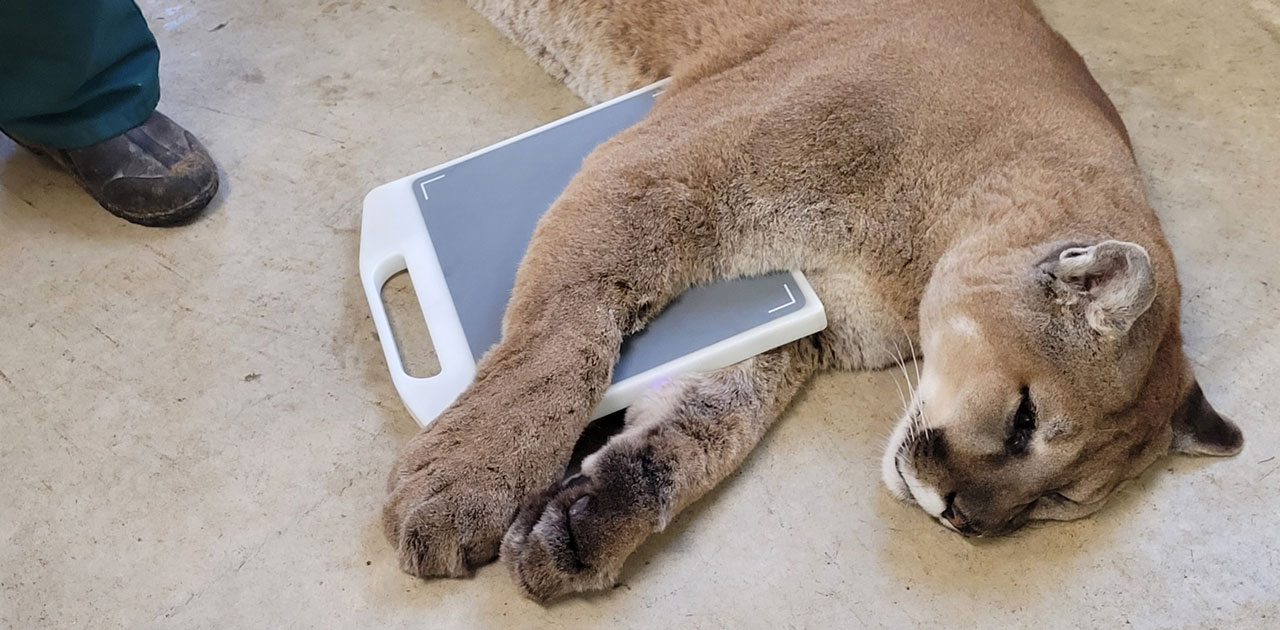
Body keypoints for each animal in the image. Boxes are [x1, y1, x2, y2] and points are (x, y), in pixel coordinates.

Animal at [381, 0, 1244, 601]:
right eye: (1025, 419)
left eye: (1059, 500)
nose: (960, 515)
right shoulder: (656, 173)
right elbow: (560, 338)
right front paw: (466, 478)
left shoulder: (798, 317)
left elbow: (707, 423)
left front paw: (586, 521)